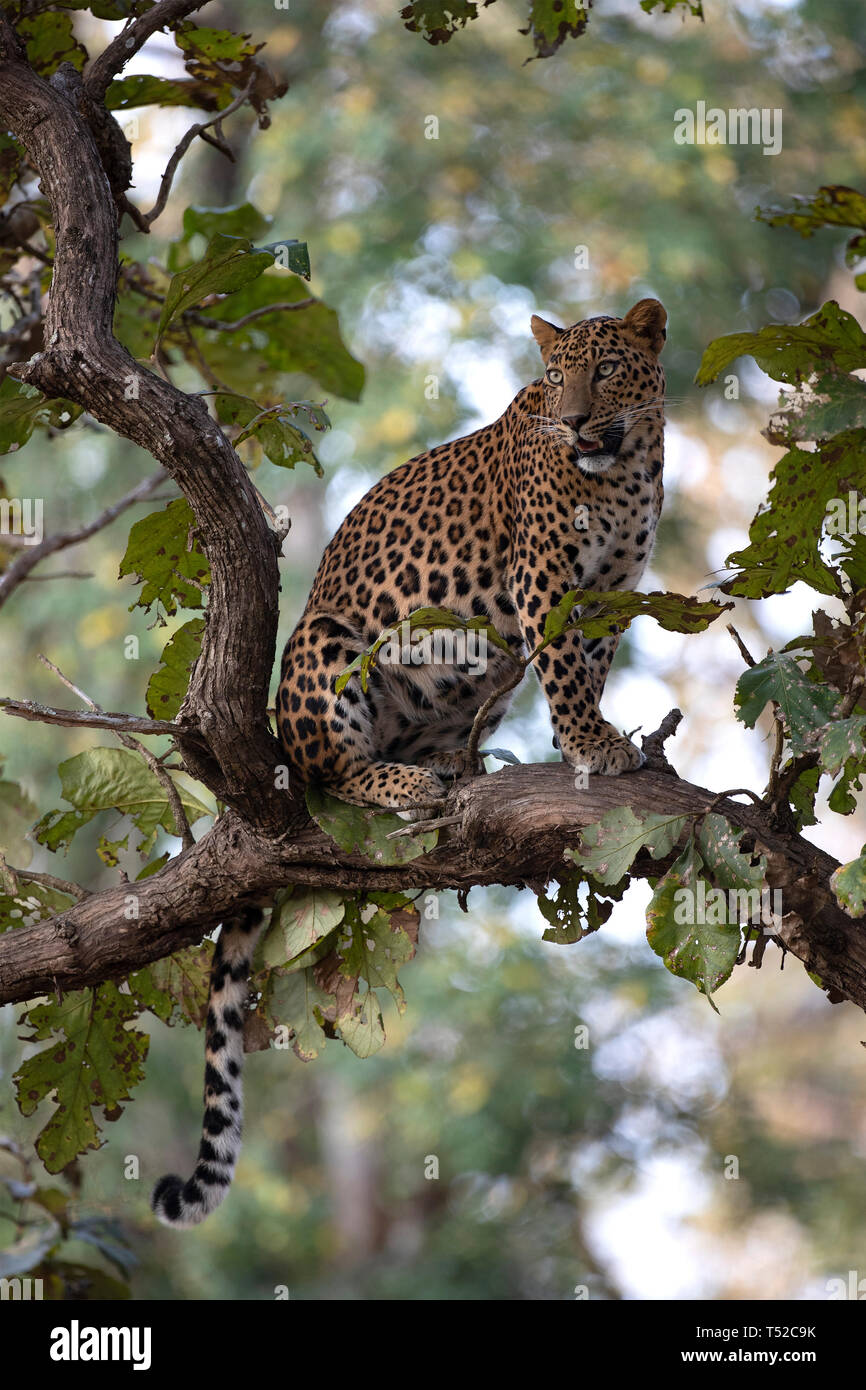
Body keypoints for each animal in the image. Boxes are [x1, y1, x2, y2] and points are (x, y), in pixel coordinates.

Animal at [151, 297, 666, 1228]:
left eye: (608, 369)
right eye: (558, 375)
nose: (574, 420)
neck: (624, 466)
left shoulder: (612, 592)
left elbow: (591, 667)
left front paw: (593, 739)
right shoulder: (545, 579)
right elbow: (567, 671)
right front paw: (592, 746)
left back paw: (461, 771)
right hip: (328, 652)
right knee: (331, 773)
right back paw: (406, 781)